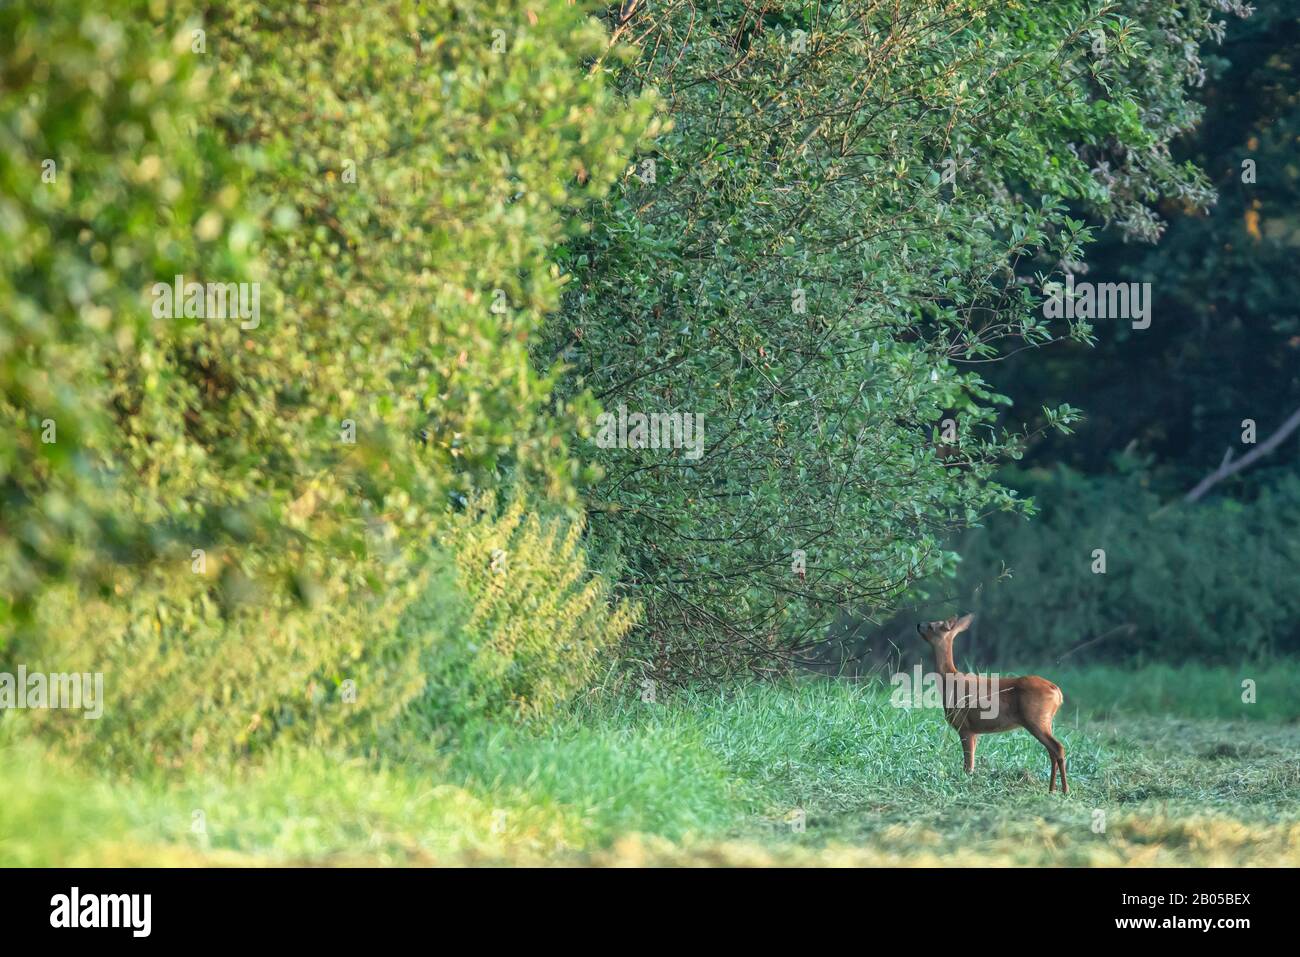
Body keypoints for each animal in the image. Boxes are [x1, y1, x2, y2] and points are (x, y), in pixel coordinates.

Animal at [915, 614, 1068, 793]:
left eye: (932, 626)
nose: (918, 624)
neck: (950, 681)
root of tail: (1057, 692)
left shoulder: (964, 725)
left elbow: (968, 765)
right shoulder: (975, 731)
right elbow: (971, 764)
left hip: (1036, 719)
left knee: (1058, 747)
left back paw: (1065, 790)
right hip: (1045, 721)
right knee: (1052, 751)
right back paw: (1051, 790)